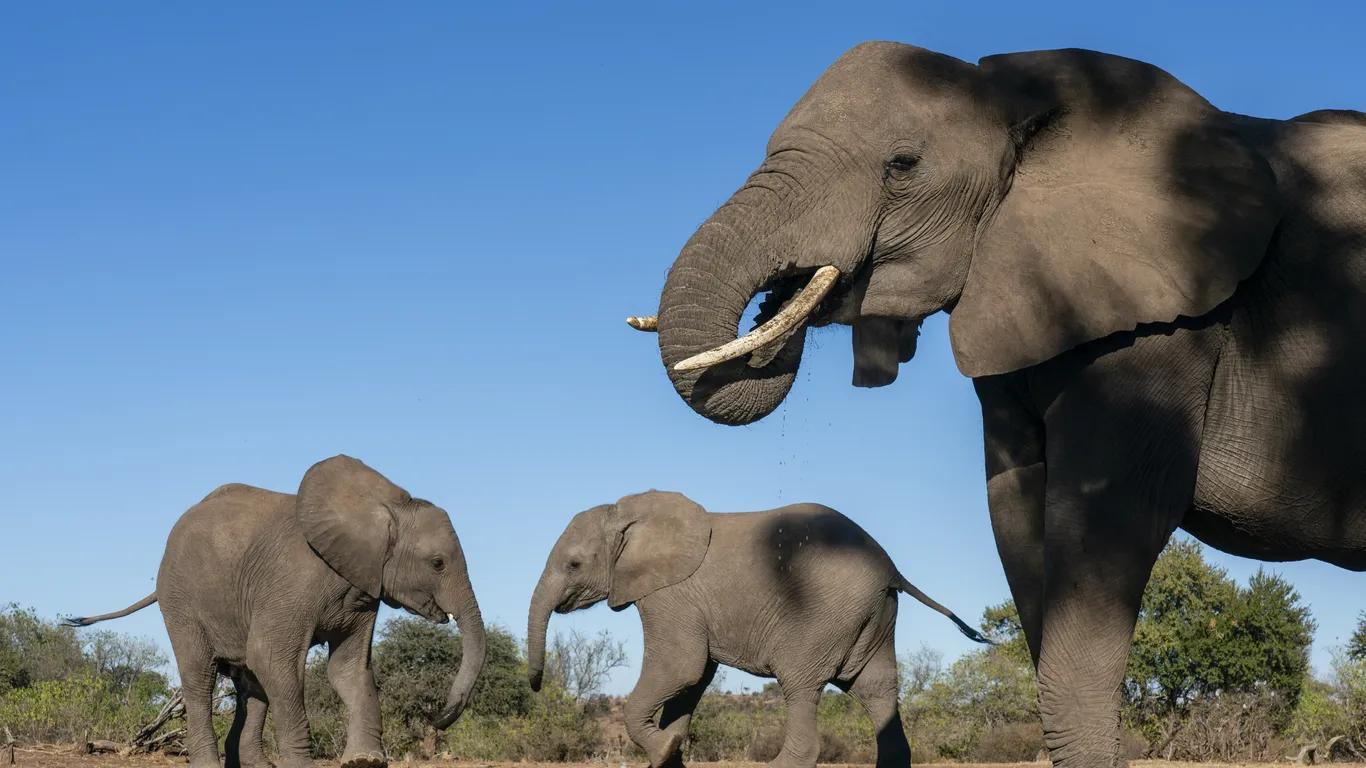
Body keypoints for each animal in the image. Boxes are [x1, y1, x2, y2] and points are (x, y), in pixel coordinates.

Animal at [67, 455, 485, 768]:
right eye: (437, 564)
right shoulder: (293, 581)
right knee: (200, 675)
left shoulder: (364, 588)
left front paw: (364, 761)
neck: (381, 506)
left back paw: (254, 765)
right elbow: (272, 657)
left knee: (250, 683)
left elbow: (347, 669)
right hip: (180, 597)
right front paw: (306, 764)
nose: (439, 716)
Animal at [526, 490, 989, 768]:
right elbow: (694, 680)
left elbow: (682, 667)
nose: (535, 685)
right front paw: (670, 753)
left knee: (800, 684)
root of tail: (890, 566)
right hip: (876, 615)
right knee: (877, 688)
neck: (630, 514)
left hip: (823, 614)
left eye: (574, 565)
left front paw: (665, 748)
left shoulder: (670, 595)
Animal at [626, 42, 1366, 768]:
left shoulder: (1166, 326)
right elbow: (1015, 509)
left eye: (902, 165)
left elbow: (1110, 519)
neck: (1018, 98)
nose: (783, 295)